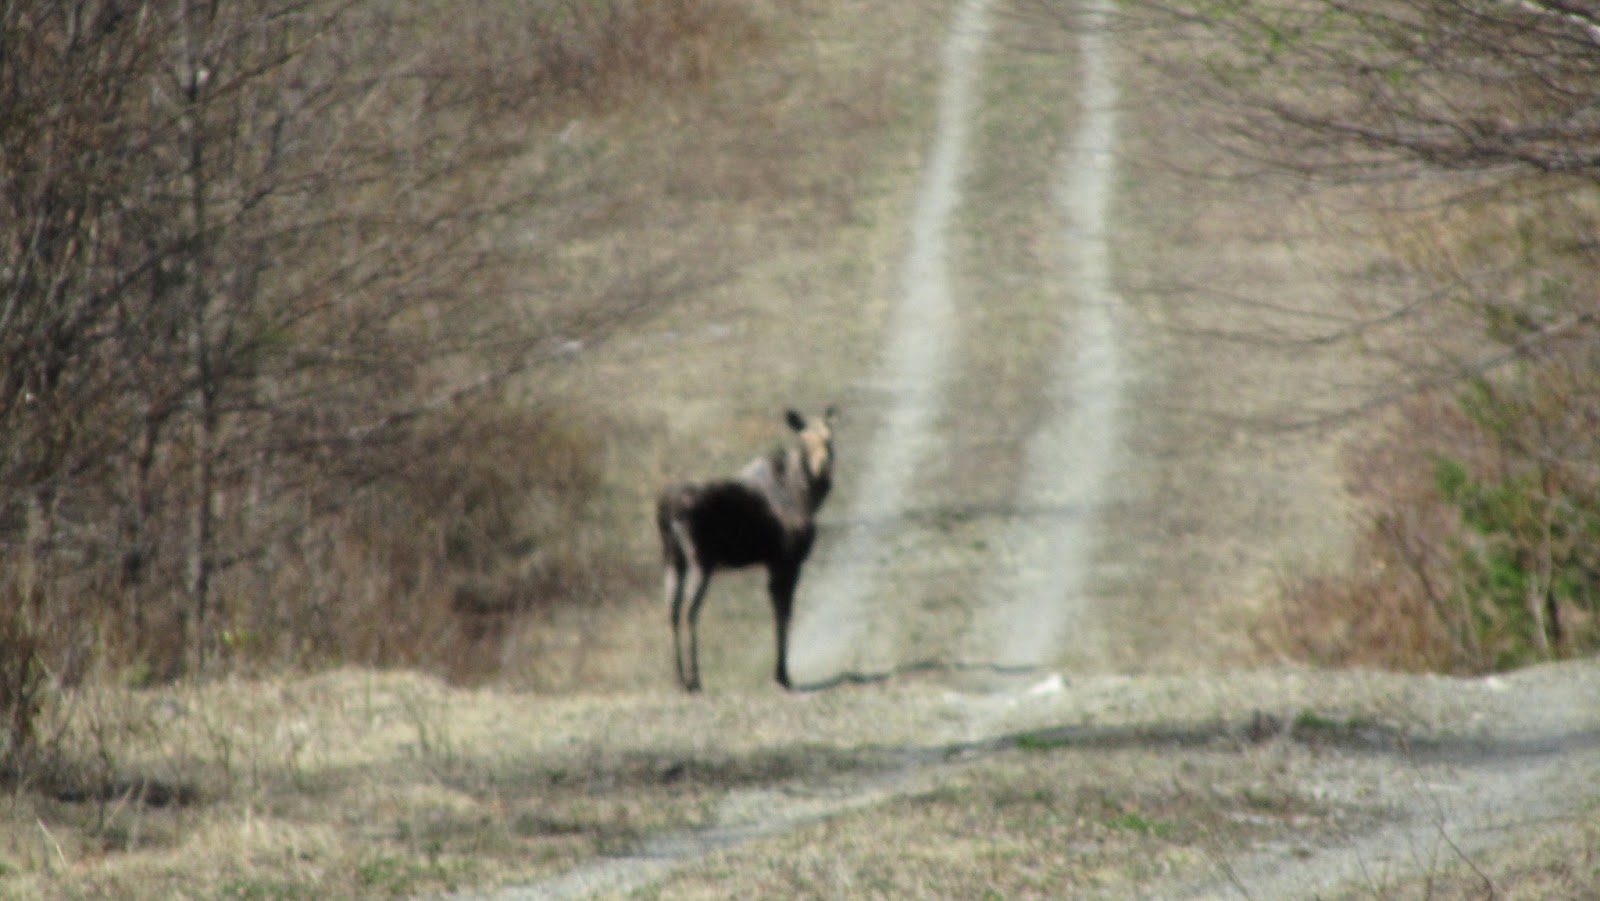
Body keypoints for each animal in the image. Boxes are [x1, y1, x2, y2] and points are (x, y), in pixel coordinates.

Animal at [657, 407, 837, 692]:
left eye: (829, 437)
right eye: (804, 439)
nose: (824, 465)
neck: (806, 497)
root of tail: (666, 510)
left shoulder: (773, 563)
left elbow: (779, 613)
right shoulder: (788, 560)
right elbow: (784, 614)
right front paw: (782, 676)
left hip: (672, 559)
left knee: (670, 609)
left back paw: (679, 679)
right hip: (700, 560)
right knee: (688, 610)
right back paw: (695, 679)